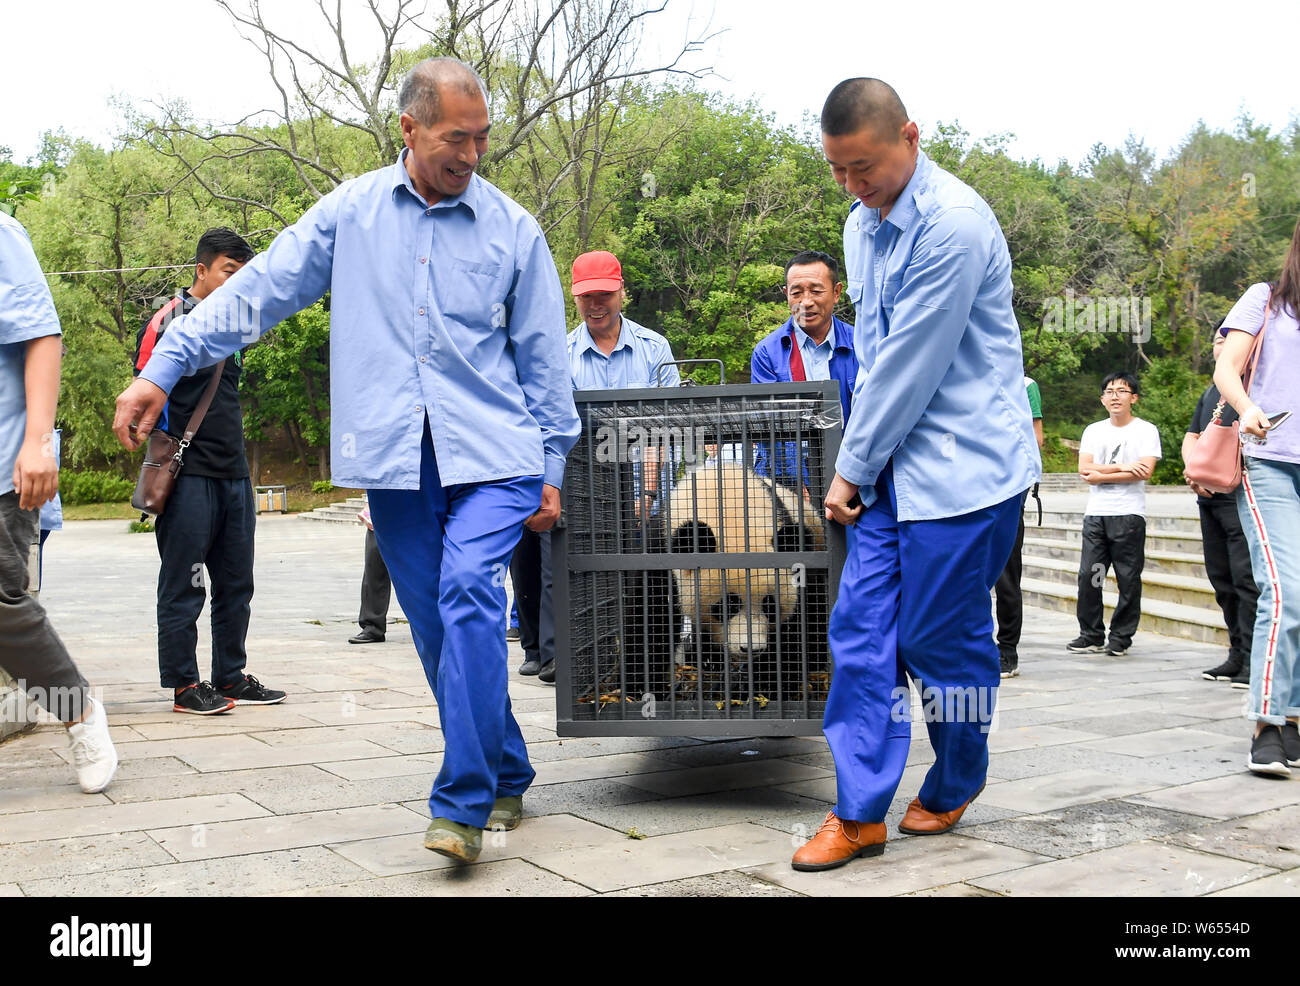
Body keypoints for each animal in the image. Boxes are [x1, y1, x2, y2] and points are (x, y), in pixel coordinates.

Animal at [661, 461, 829, 704]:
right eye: (728, 605)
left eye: (770, 606)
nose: (751, 648)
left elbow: (794, 631)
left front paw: (760, 684)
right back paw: (707, 658)